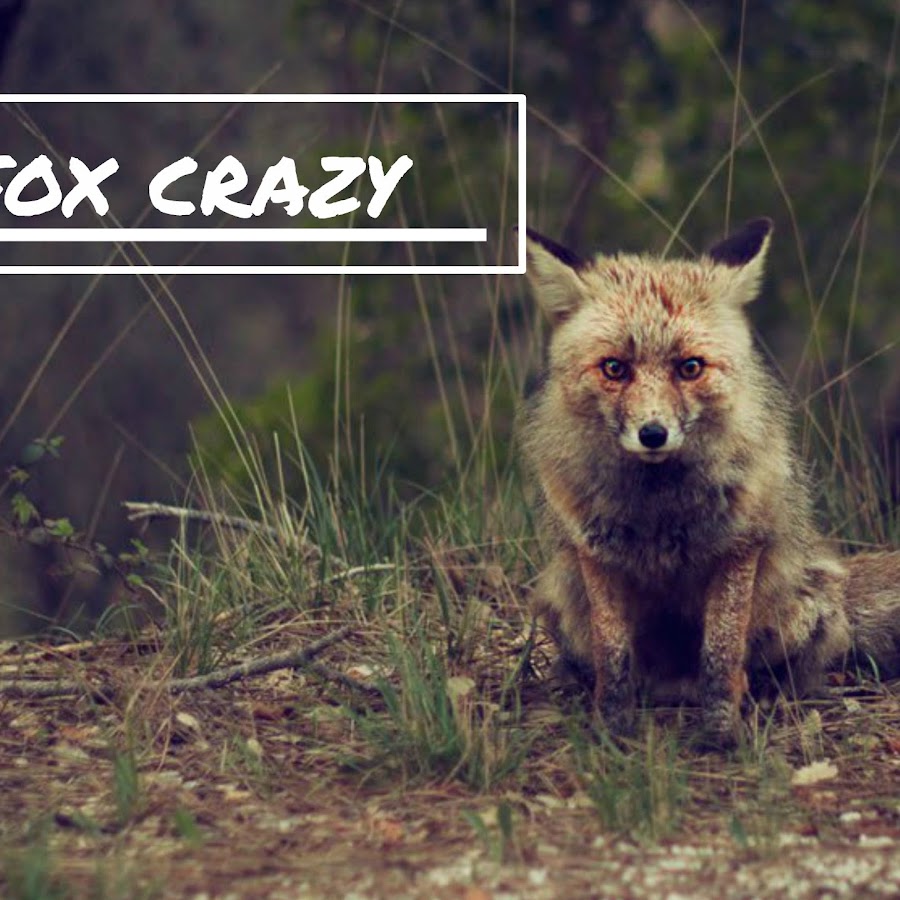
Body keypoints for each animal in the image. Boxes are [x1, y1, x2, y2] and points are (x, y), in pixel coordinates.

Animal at [520, 217, 900, 748]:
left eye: (690, 367)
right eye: (615, 368)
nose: (652, 434)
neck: (658, 512)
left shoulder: (739, 546)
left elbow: (720, 654)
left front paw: (721, 733)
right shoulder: (595, 550)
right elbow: (613, 660)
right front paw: (612, 730)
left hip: (802, 614)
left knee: (779, 672)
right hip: (560, 600)